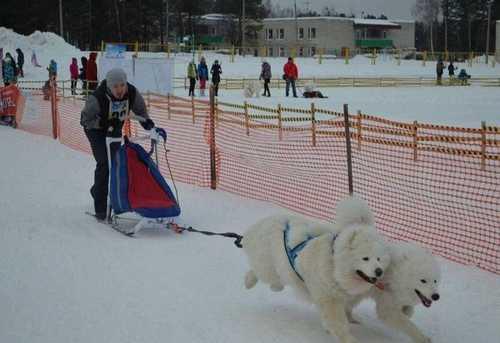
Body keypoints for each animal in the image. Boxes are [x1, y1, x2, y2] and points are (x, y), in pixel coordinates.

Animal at [241, 196, 390, 343]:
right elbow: (338, 323)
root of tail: (264, 222)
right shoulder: (329, 298)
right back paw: (249, 282)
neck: (334, 266)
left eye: (378, 259)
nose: (379, 271)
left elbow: (346, 311)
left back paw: (275, 286)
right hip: (268, 264)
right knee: (258, 271)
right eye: (365, 258)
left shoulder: (344, 297)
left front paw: (351, 321)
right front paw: (349, 339)